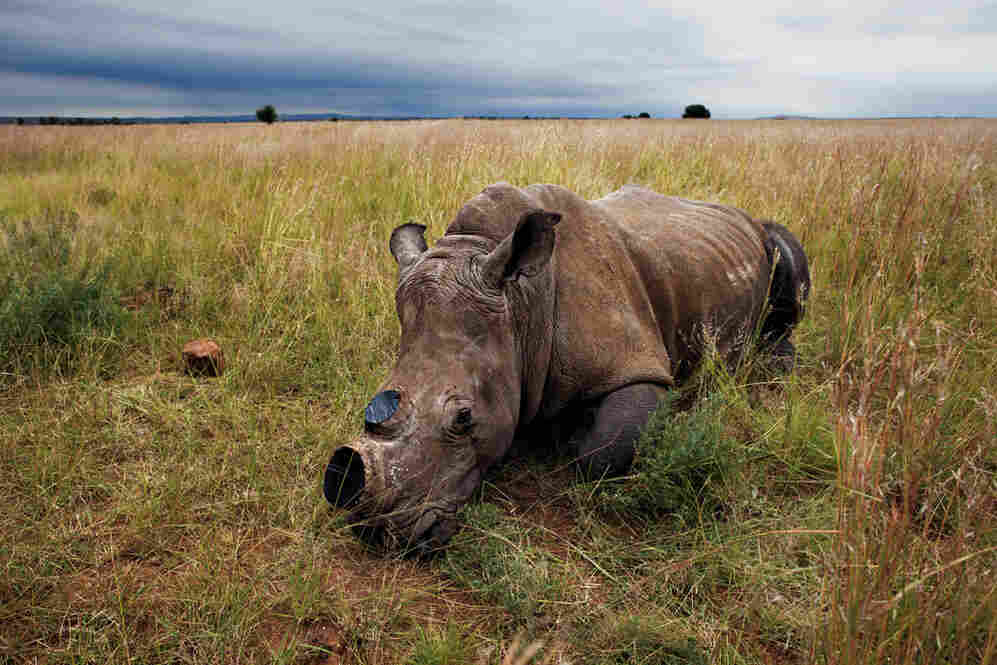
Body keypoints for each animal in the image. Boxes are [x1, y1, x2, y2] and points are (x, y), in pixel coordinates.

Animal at [324, 183, 810, 553]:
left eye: (463, 418)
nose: (374, 528)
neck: (521, 307)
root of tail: (739, 212)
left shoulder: (638, 368)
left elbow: (600, 451)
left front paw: (568, 434)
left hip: (764, 238)